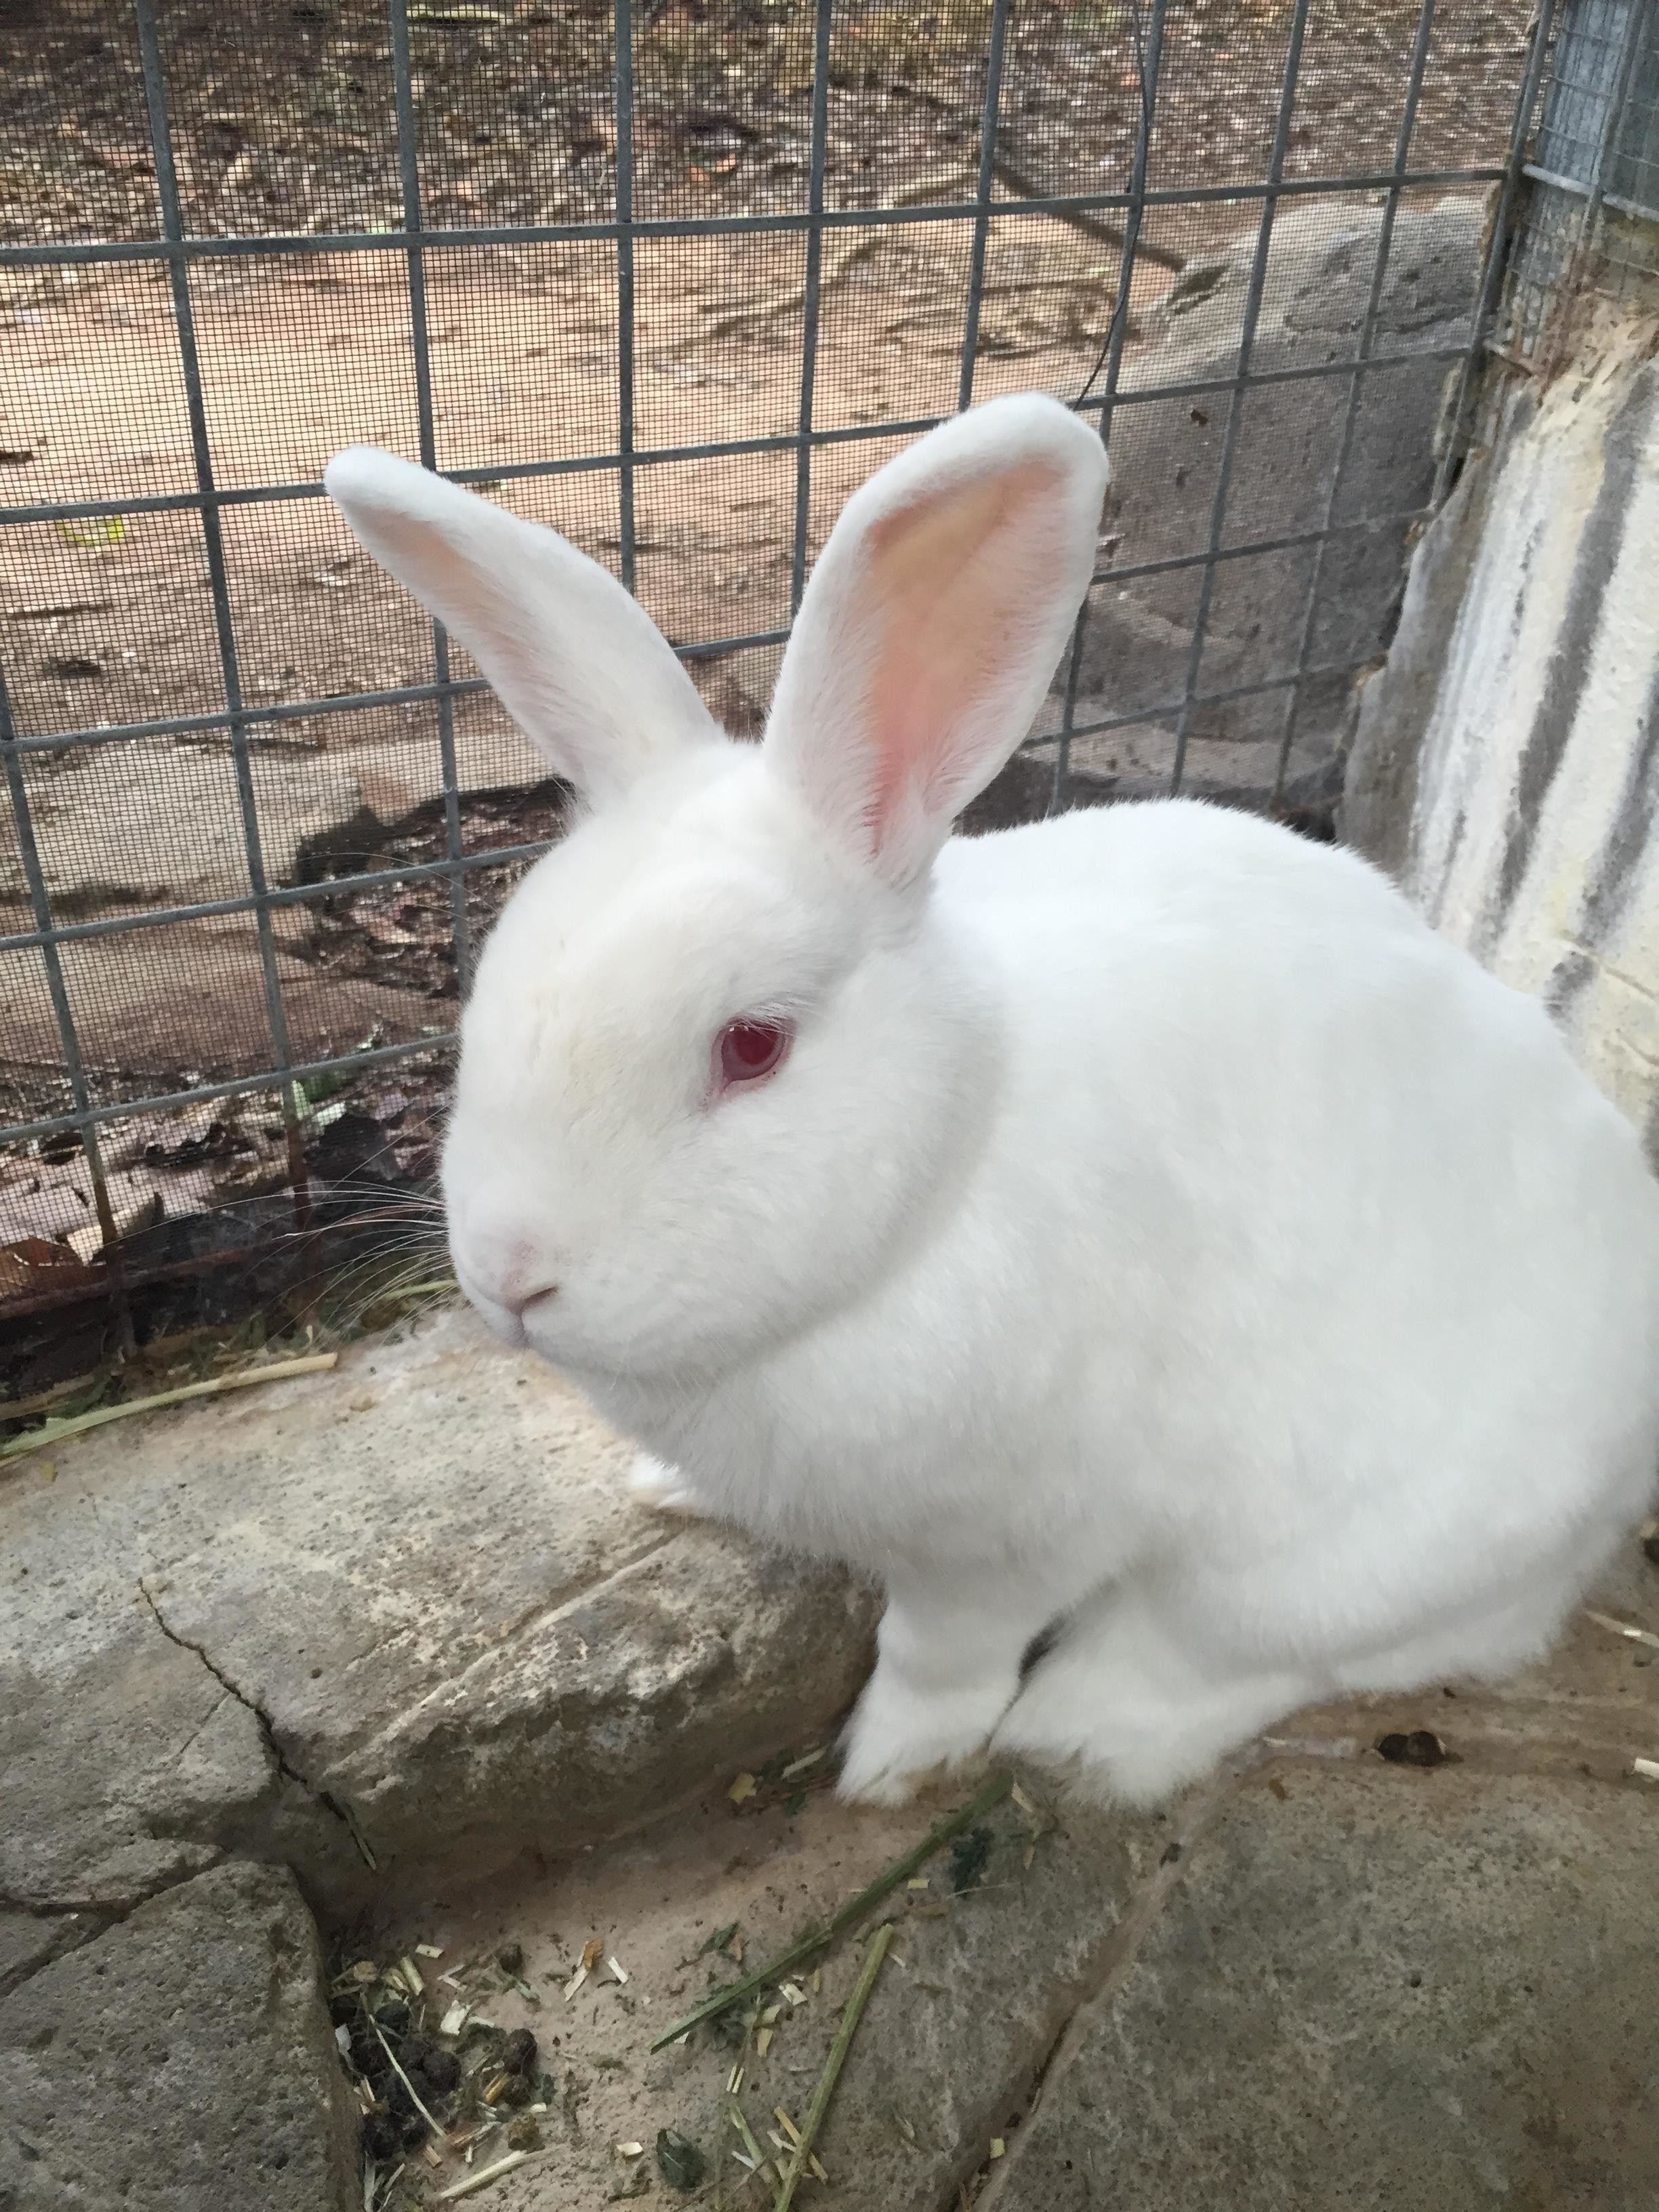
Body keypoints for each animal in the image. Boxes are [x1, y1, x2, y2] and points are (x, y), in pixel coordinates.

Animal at [325, 393, 1659, 1809]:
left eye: (750, 1045)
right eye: (489, 985)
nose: (508, 1275)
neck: (941, 1178)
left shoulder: (1009, 1541)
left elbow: (938, 1652)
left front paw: (889, 1766)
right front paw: (666, 1488)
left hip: (1328, 1564)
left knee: (1252, 1652)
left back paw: (1081, 1729)